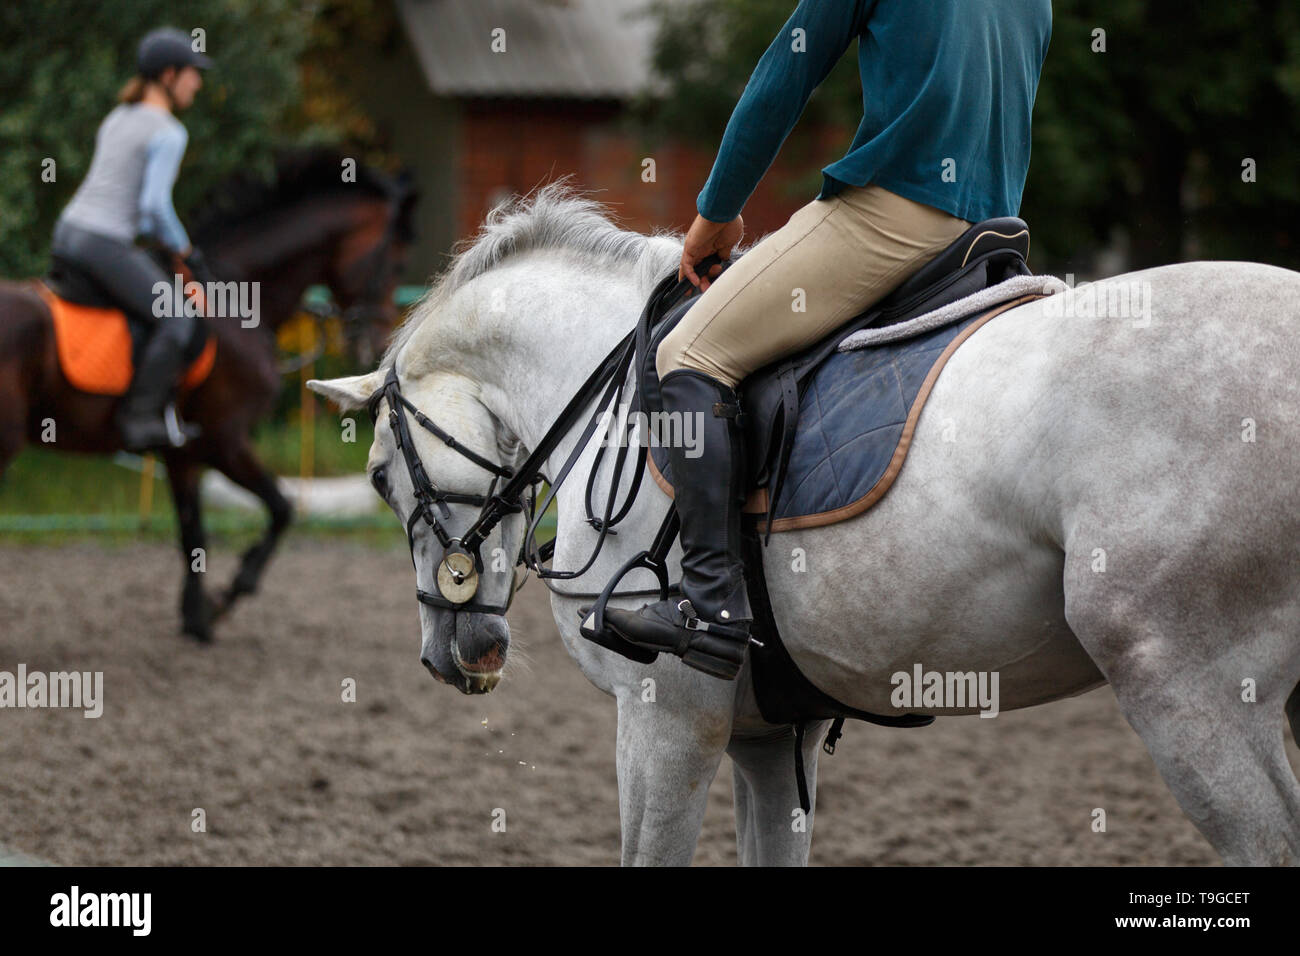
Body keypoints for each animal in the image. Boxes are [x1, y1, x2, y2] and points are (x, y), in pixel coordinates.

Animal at [0, 151, 417, 641]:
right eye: (395, 265)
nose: (378, 344)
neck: (239, 298)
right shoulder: (224, 439)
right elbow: (281, 509)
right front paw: (228, 596)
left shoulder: (183, 451)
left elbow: (193, 534)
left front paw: (196, 615)